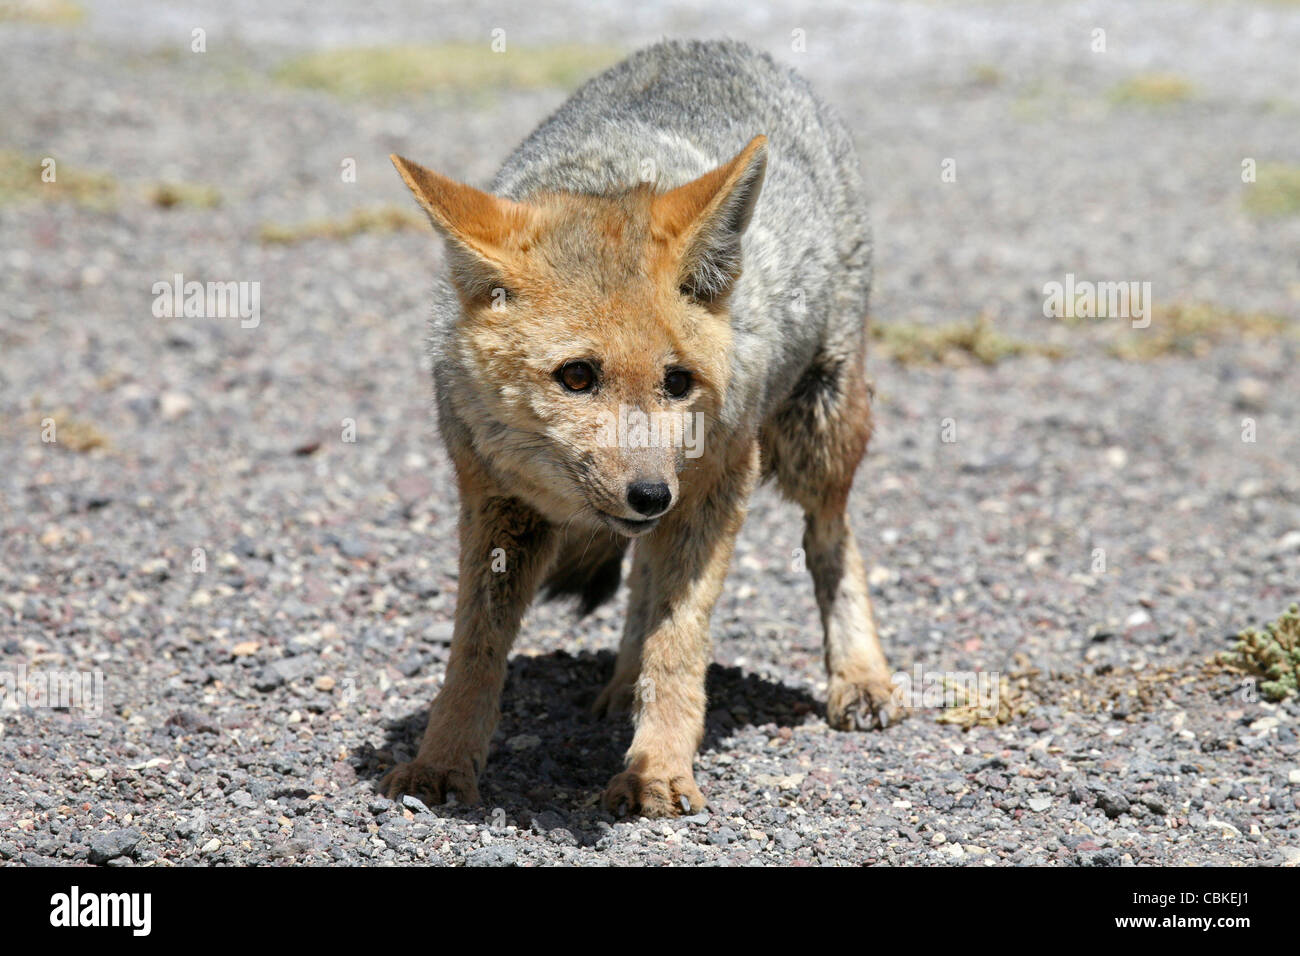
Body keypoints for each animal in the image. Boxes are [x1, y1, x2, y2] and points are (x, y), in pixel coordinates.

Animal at [383, 38, 902, 817]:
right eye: (576, 377)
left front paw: (656, 769)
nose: (650, 494)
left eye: (677, 383)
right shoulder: (495, 501)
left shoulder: (720, 485)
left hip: (815, 437)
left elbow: (680, 641)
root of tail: (718, 42)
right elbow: (473, 652)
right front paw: (441, 765)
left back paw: (861, 676)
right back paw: (623, 683)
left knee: (831, 541)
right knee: (644, 576)